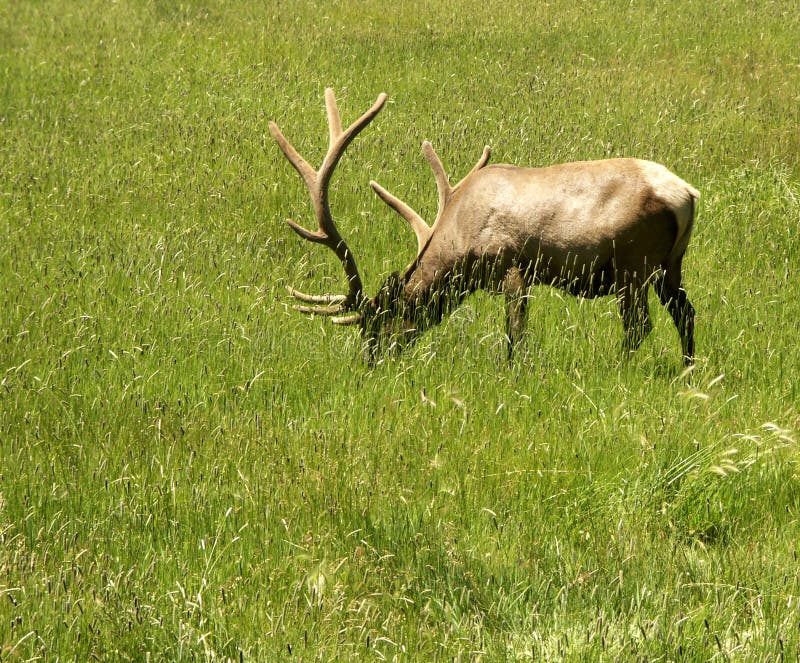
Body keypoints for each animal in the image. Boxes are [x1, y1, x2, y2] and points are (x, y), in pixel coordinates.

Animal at [269, 89, 699, 365]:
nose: (368, 364)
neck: (461, 248)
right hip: (669, 265)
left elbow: (515, 335)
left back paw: (618, 367)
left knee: (639, 326)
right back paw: (688, 371)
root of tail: (687, 195)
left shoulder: (512, 265)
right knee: (686, 311)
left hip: (633, 263)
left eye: (376, 325)